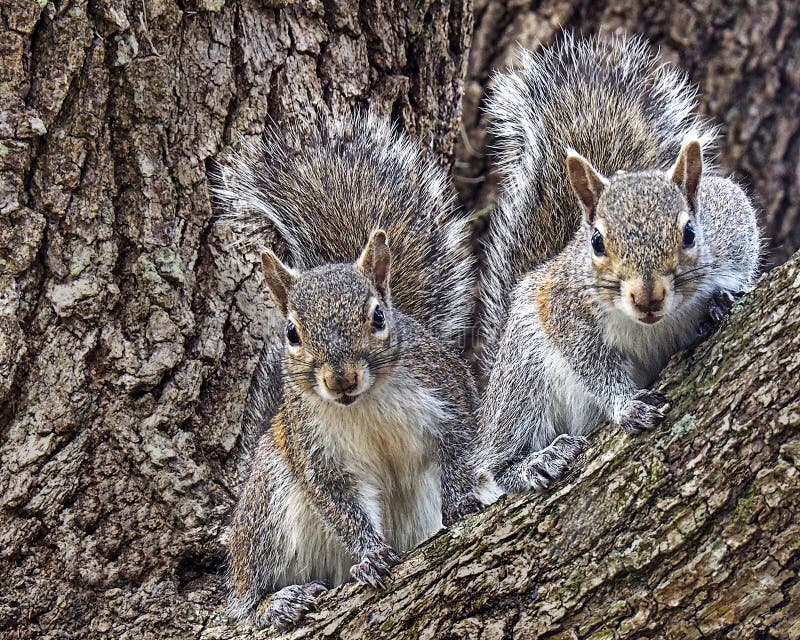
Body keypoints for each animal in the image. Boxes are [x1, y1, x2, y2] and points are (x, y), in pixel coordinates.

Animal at [213, 112, 481, 628]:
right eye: (292, 332)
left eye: (378, 316)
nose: (341, 379)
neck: (364, 405)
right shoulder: (317, 453)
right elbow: (340, 505)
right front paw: (371, 555)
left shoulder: (447, 394)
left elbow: (461, 448)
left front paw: (460, 500)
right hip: (267, 505)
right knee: (243, 593)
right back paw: (274, 603)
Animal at [475, 34, 761, 500]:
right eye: (596, 242)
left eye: (690, 232)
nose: (647, 298)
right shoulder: (565, 306)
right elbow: (591, 363)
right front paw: (626, 405)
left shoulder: (731, 224)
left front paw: (723, 299)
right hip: (523, 374)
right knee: (493, 461)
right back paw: (531, 464)